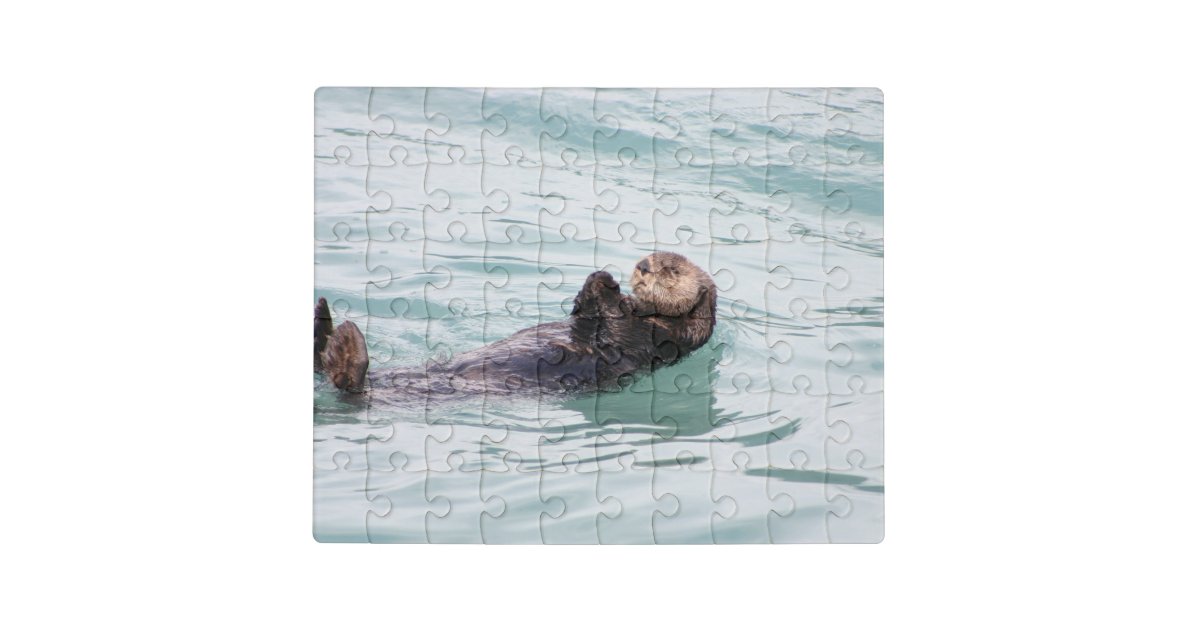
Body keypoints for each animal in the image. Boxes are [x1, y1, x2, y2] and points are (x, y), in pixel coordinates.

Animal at [314, 252, 717, 397]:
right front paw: (600, 281)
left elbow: (619, 329)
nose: (642, 267)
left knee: (351, 386)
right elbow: (583, 315)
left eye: (672, 269)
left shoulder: (662, 338)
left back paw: (343, 346)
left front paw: (611, 289)